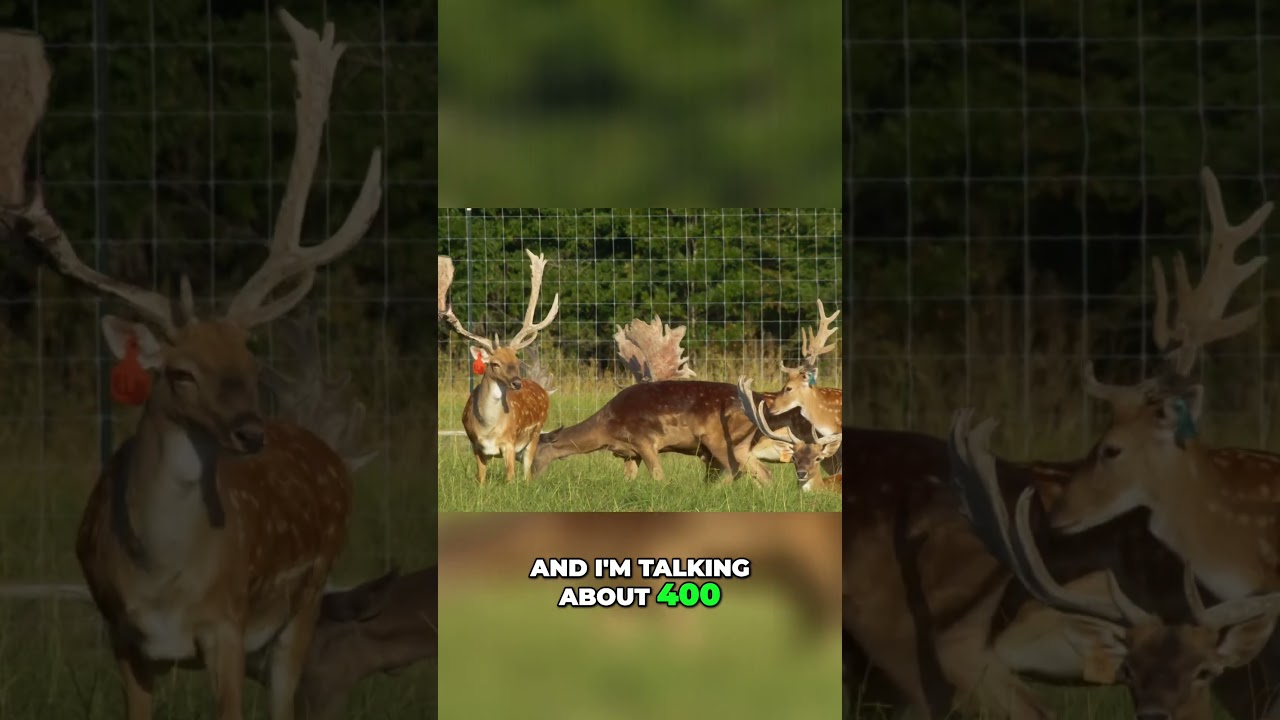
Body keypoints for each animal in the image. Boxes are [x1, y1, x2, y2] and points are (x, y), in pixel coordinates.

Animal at [0, 9, 382, 720]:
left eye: (250, 365)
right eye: (180, 373)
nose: (250, 432)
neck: (163, 583)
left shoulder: (225, 626)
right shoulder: (122, 637)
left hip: (306, 602)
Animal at [439, 248, 559, 484]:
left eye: (516, 360)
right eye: (495, 364)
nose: (516, 383)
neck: (488, 430)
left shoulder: (509, 443)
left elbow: (510, 478)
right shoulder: (475, 446)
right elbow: (481, 480)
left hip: (535, 433)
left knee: (527, 473)